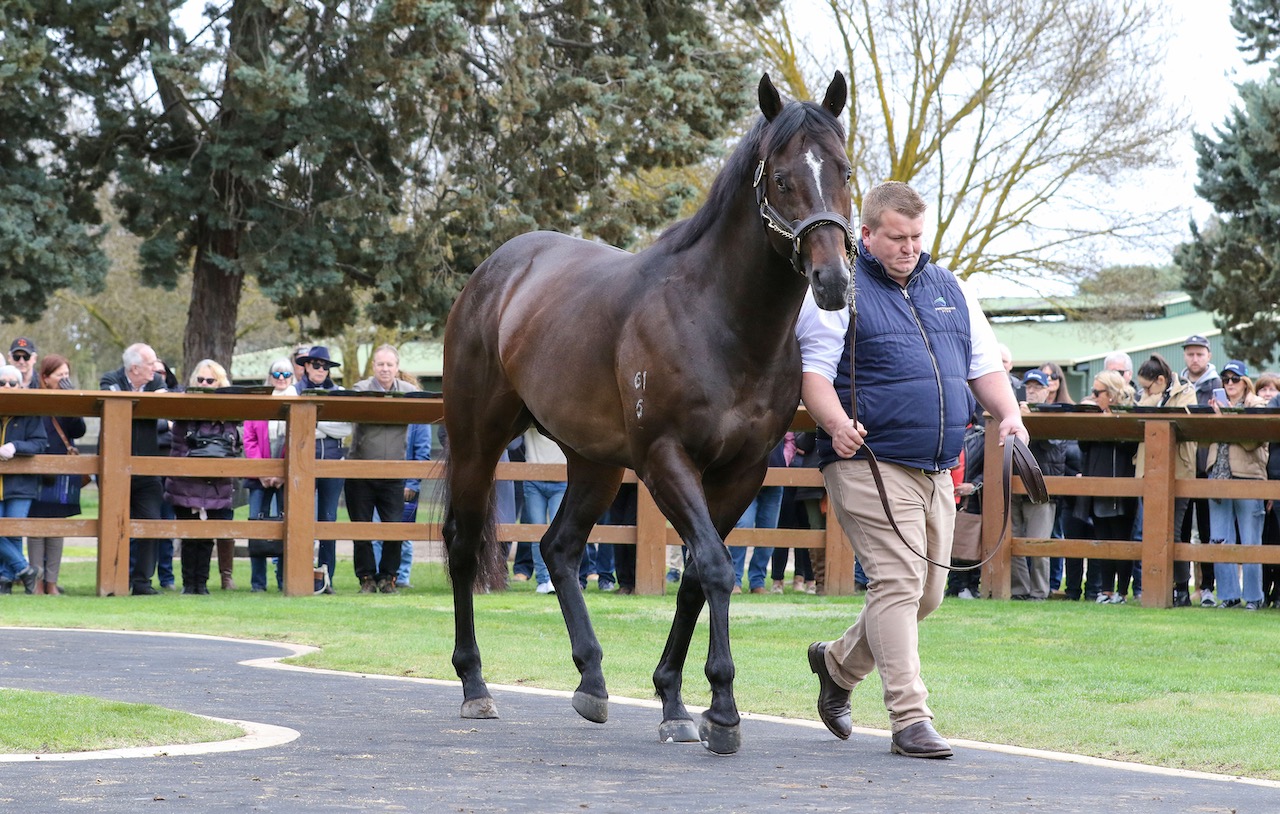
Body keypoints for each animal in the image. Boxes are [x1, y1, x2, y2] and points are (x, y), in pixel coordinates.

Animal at [441, 71, 854, 755]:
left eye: (844, 171)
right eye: (781, 178)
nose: (832, 280)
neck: (720, 322)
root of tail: (497, 270)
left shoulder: (742, 472)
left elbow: (694, 575)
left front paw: (675, 702)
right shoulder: (665, 459)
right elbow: (713, 566)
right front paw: (722, 710)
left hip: (595, 463)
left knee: (560, 547)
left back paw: (592, 680)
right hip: (477, 438)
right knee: (462, 542)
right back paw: (474, 686)